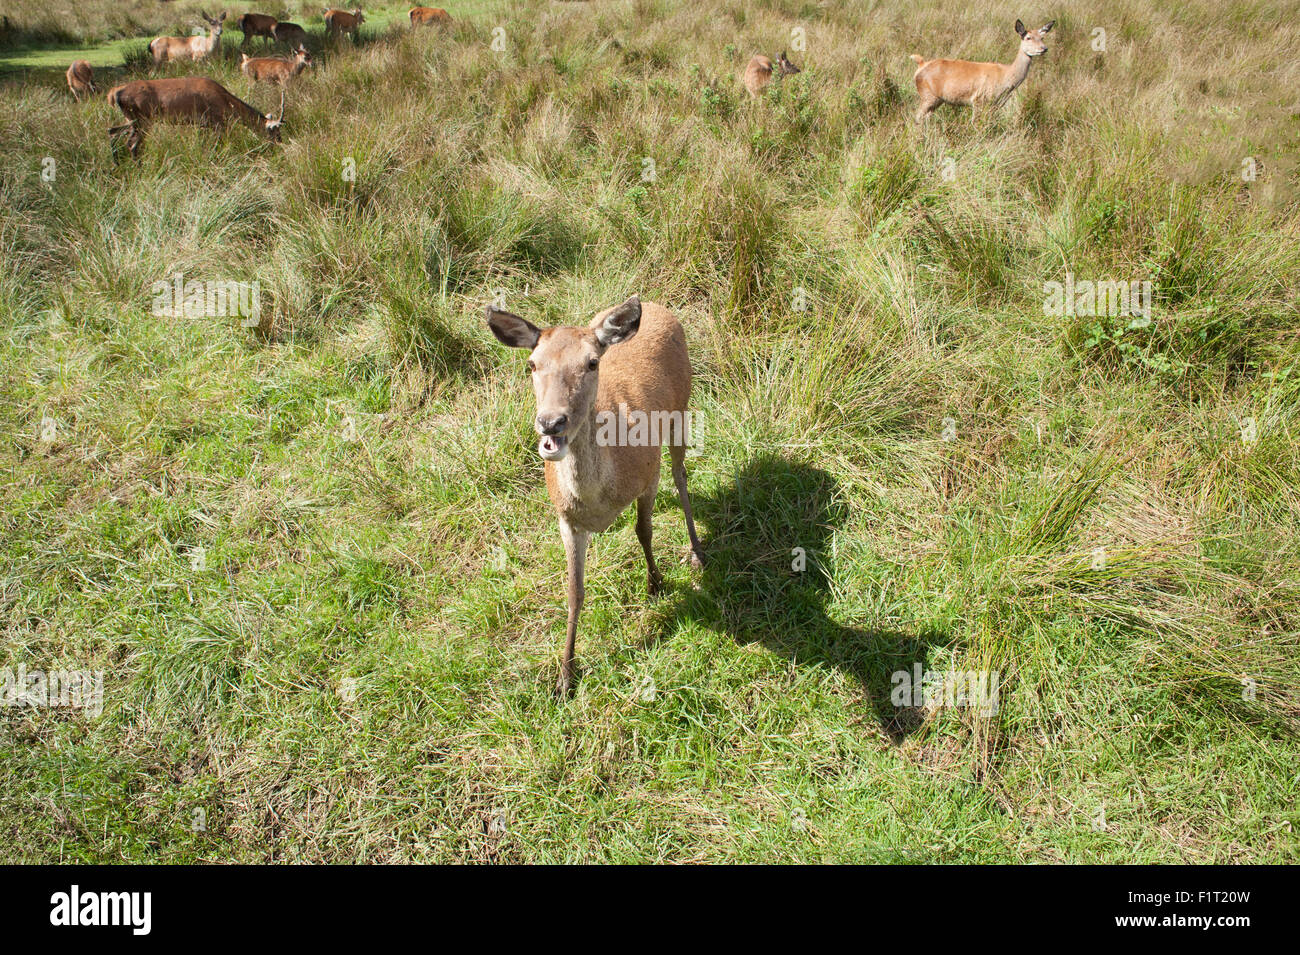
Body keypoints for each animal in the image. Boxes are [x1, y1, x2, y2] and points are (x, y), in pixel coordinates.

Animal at [107, 77, 284, 159]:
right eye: (274, 132)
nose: (280, 145)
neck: (225, 103)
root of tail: (115, 93)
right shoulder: (217, 122)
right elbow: (221, 145)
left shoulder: (203, 124)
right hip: (142, 120)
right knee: (132, 144)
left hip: (131, 120)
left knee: (112, 130)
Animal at [486, 296, 705, 696]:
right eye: (531, 364)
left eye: (591, 362)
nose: (551, 423)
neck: (600, 498)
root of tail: (657, 306)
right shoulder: (565, 519)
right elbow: (574, 592)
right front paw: (565, 677)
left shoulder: (648, 474)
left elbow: (643, 531)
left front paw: (656, 584)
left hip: (682, 407)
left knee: (681, 474)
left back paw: (696, 551)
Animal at [910, 19, 1056, 123]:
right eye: (1028, 37)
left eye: (1042, 37)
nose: (1044, 48)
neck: (1006, 78)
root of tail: (920, 65)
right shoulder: (979, 99)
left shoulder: (995, 105)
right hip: (928, 95)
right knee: (916, 117)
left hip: (937, 100)